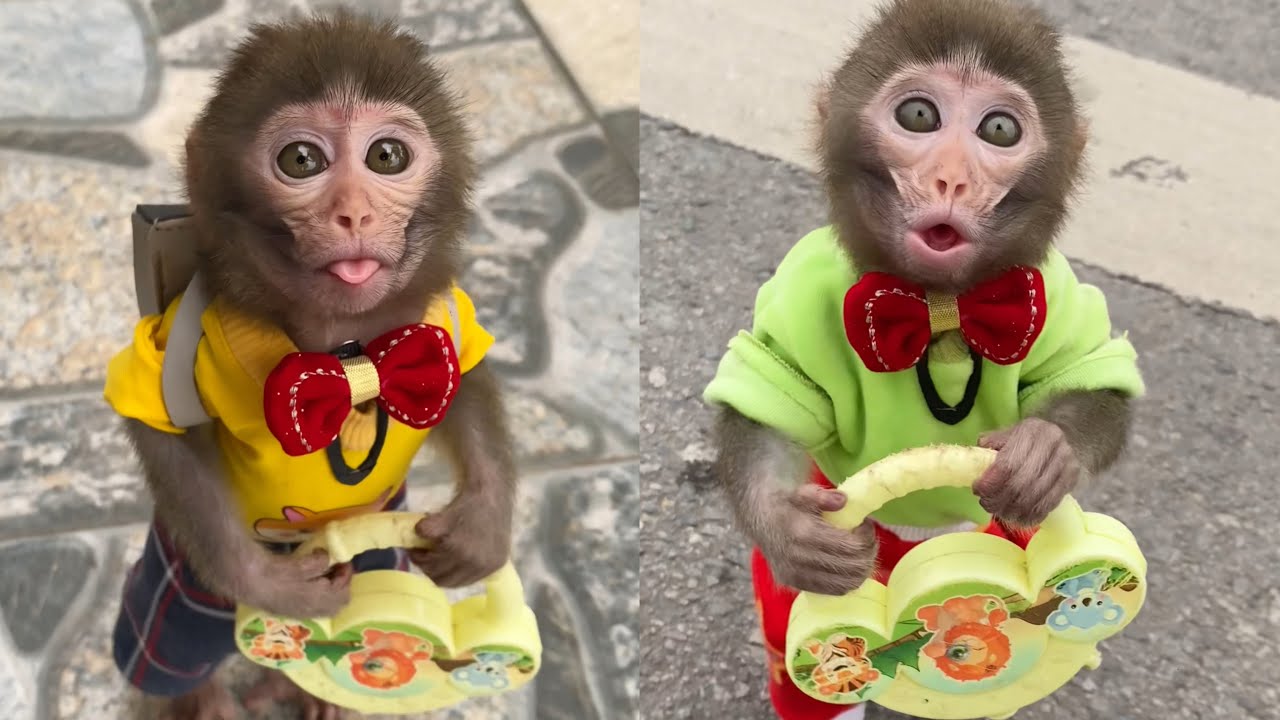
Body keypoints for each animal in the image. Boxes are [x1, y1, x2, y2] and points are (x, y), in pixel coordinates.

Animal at [101, 12, 516, 719]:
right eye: (301, 161)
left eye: (386, 156)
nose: (353, 212)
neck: (346, 352)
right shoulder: (184, 341)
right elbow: (164, 433)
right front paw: (267, 583)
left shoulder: (442, 320)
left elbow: (461, 381)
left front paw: (485, 524)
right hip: (182, 579)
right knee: (167, 645)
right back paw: (199, 698)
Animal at [701, 1, 1144, 718]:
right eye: (918, 116)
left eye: (999, 129)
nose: (952, 177)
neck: (942, 310)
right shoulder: (802, 294)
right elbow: (763, 416)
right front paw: (787, 528)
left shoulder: (1051, 294)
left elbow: (1096, 385)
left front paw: (1045, 452)